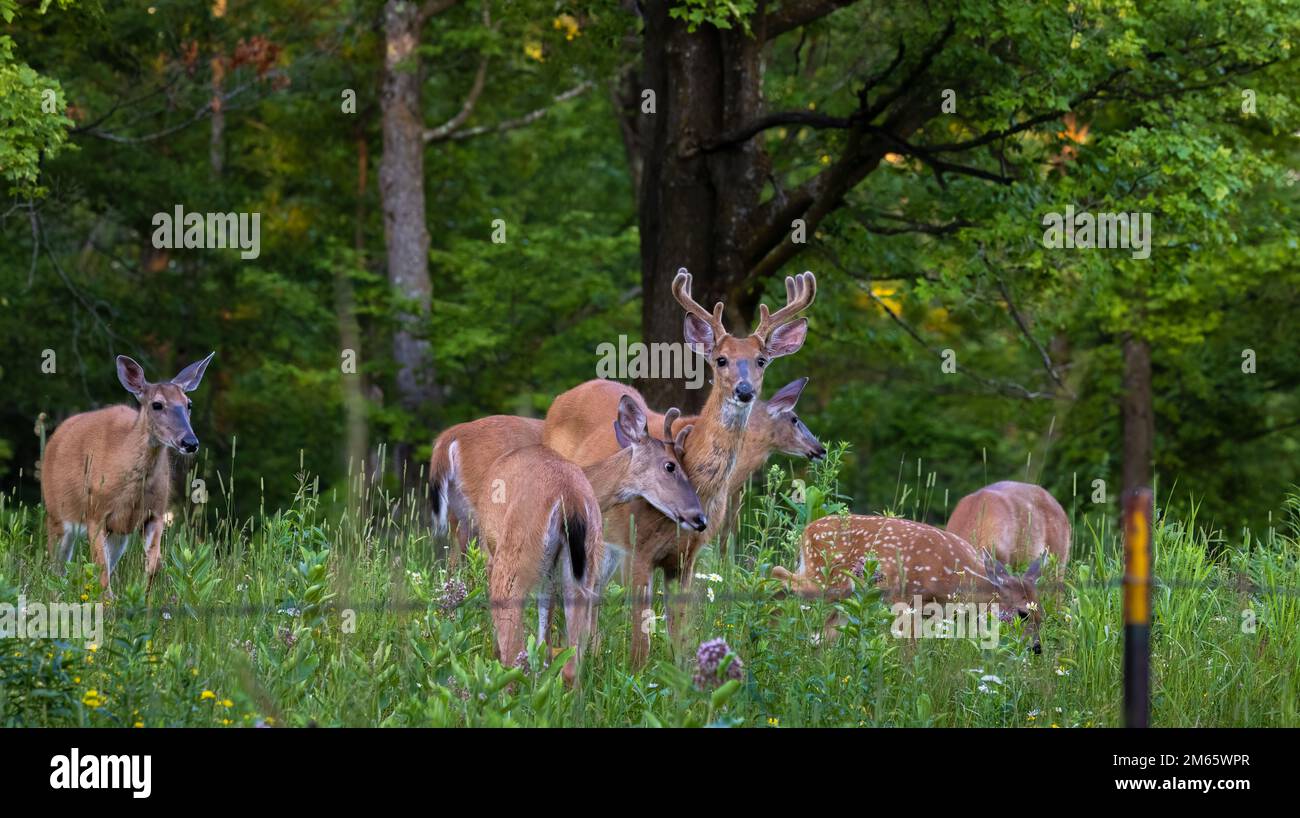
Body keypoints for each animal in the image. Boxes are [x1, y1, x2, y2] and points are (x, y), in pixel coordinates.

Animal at [41, 352, 215, 599]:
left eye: (188, 404)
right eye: (157, 404)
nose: (189, 442)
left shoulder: (156, 513)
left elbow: (154, 565)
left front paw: (143, 598)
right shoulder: (95, 514)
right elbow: (101, 570)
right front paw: (109, 603)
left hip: (118, 534)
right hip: (57, 513)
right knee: (56, 568)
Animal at [431, 397, 706, 683]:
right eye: (671, 465)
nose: (699, 518)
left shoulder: (490, 546)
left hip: (511, 553)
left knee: (511, 642)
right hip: (578, 566)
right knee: (572, 660)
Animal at [543, 268, 815, 666]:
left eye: (762, 359)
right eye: (721, 359)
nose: (745, 390)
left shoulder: (688, 558)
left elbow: (680, 637)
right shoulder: (638, 550)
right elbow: (641, 643)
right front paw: (634, 676)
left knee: (590, 598)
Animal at [773, 514, 1043, 652]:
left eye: (1042, 615)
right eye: (1022, 614)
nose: (1037, 648)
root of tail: (806, 530)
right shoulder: (904, 598)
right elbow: (909, 649)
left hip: (844, 593)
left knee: (824, 631)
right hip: (827, 577)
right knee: (778, 573)